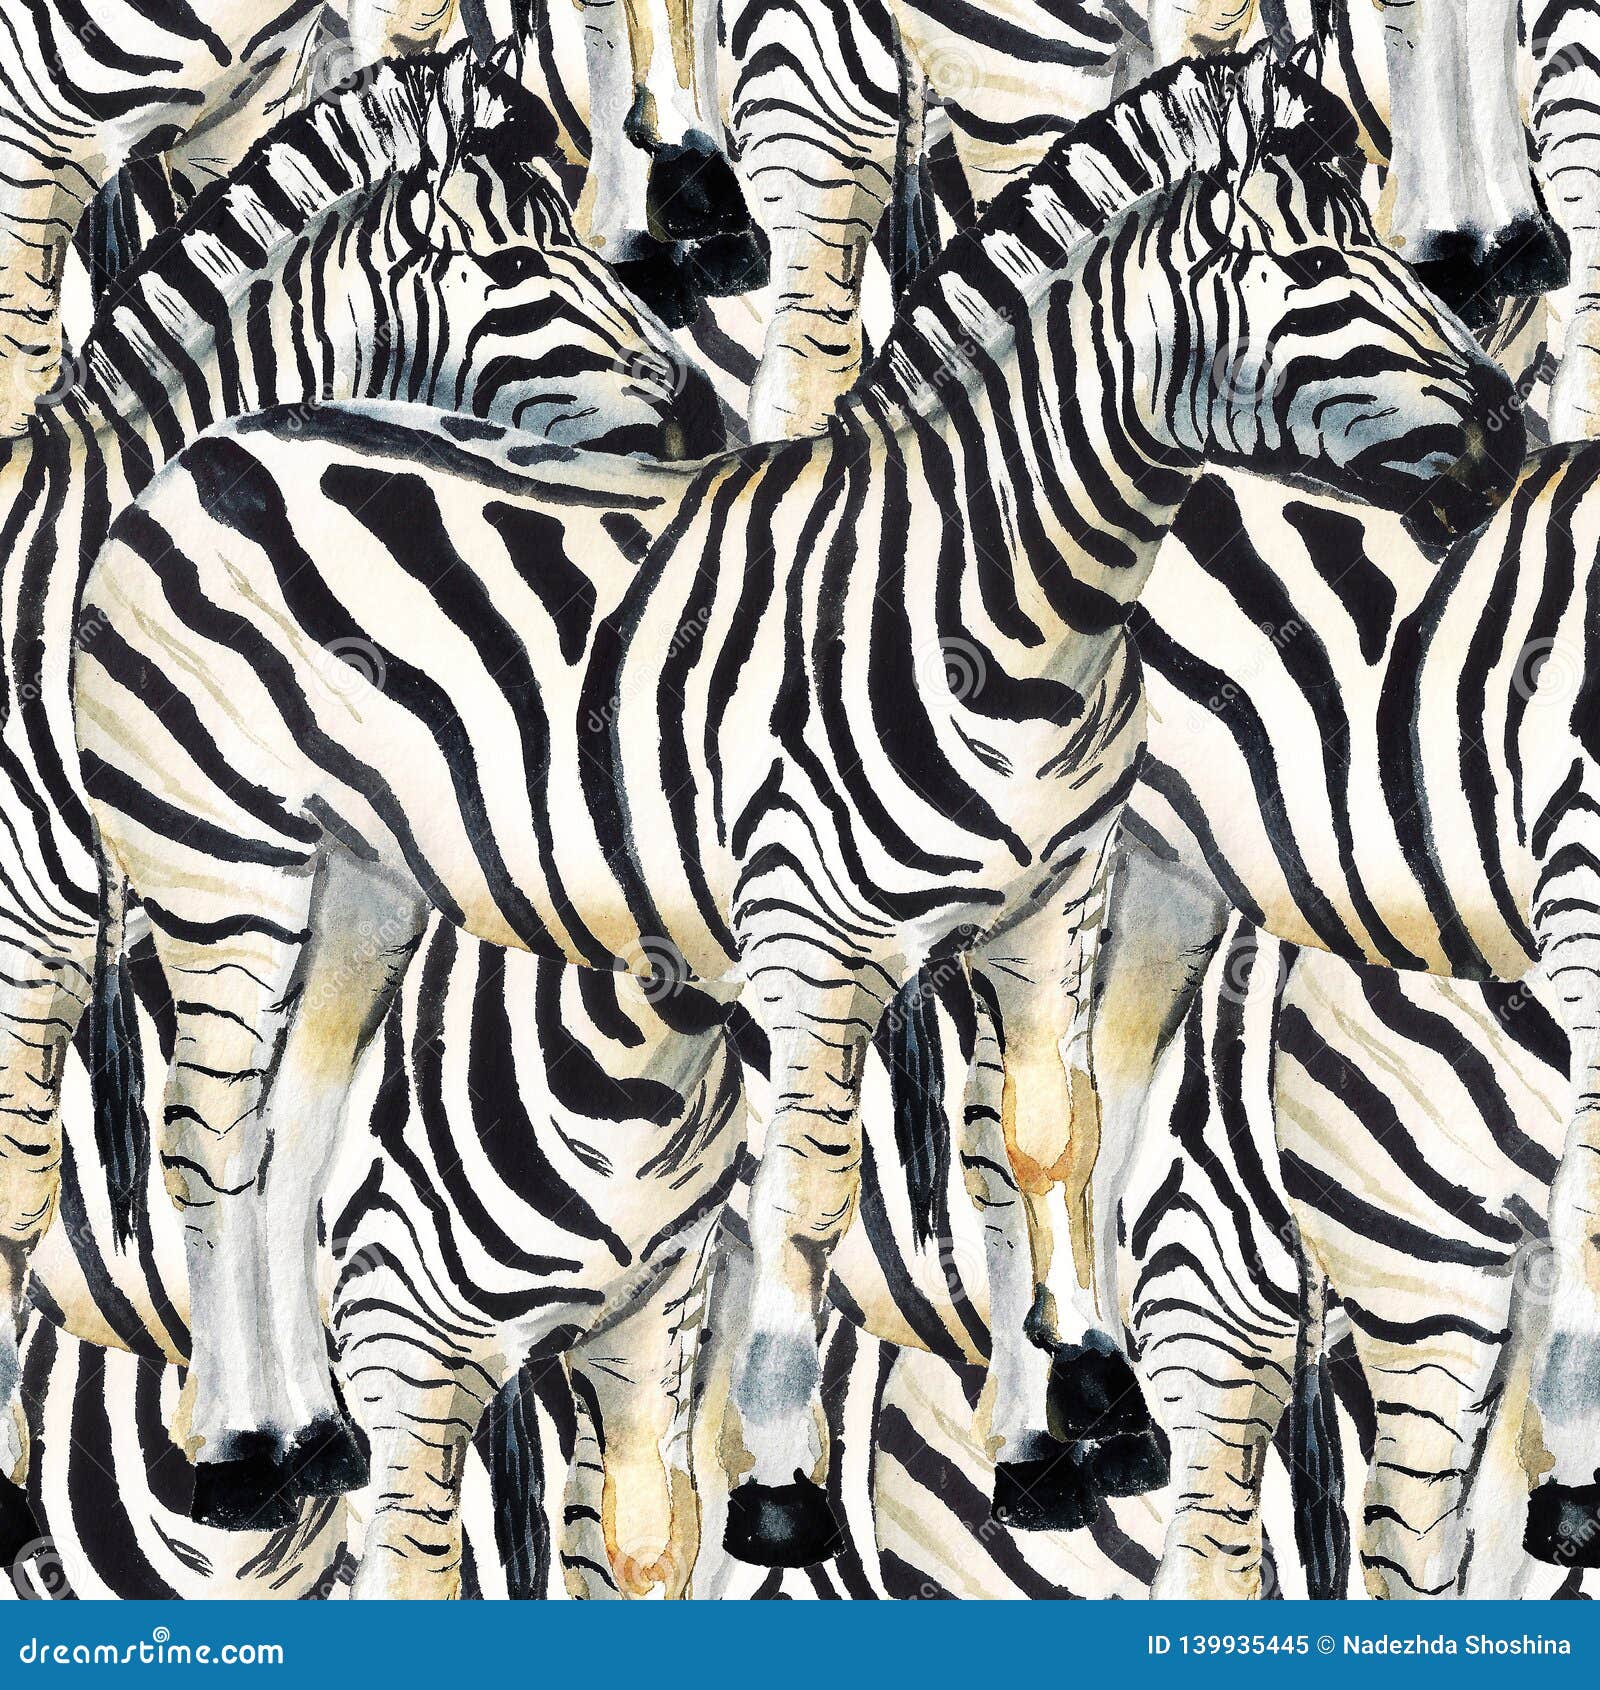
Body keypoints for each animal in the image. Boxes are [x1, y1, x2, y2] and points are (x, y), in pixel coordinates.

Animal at [69, 45, 1517, 1563]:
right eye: (1312, 264)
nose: (1509, 429)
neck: (1002, 601)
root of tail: (217, 441)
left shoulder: (1052, 904)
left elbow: (1046, 1133)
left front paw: (1077, 1421)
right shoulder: (808, 947)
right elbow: (812, 1191)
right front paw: (777, 1477)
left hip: (362, 882)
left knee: (284, 1131)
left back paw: (313, 1436)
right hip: (224, 874)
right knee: (206, 1134)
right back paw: (237, 1456)